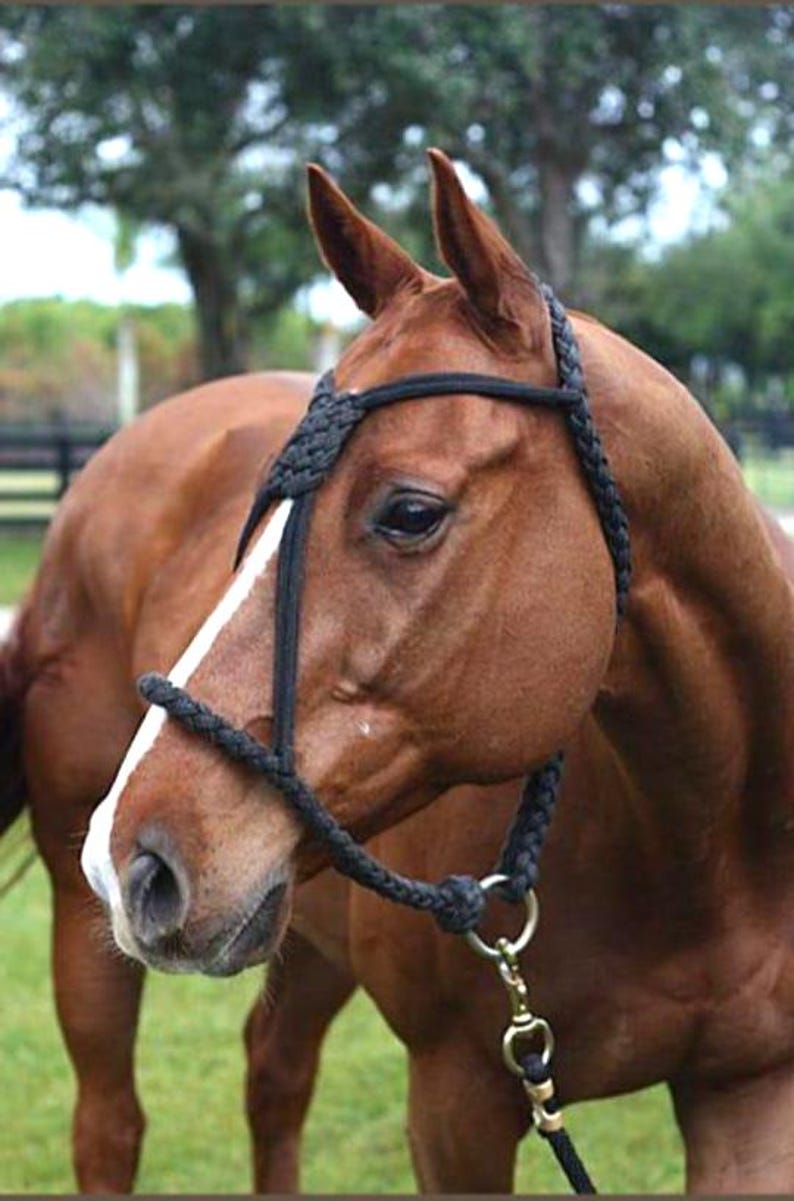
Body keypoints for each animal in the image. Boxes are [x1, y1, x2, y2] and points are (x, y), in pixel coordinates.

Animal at [14, 145, 794, 1193]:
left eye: (411, 512)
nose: (131, 854)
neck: (707, 842)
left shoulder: (749, 1094)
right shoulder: (456, 1100)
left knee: (274, 1080)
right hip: (83, 928)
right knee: (110, 1127)